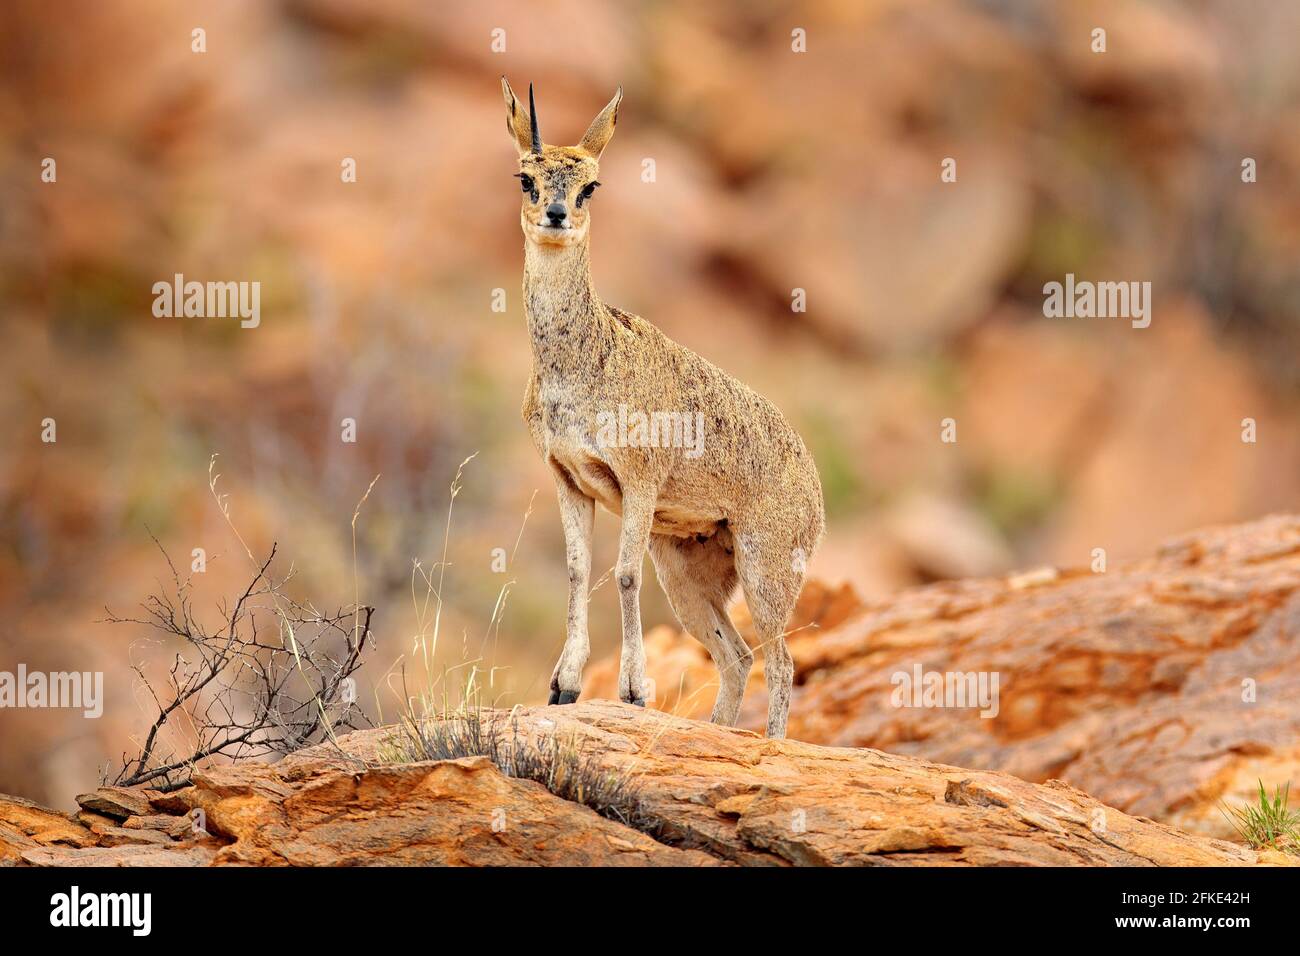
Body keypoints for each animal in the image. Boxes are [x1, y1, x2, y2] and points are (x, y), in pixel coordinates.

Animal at [502, 78, 825, 737]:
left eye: (590, 185)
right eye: (525, 178)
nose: (557, 214)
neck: (584, 362)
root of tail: (816, 492)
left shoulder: (639, 481)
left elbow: (623, 575)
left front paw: (632, 691)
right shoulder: (567, 478)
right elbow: (578, 572)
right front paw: (563, 687)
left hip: (767, 568)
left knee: (781, 661)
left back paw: (771, 742)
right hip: (687, 570)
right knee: (737, 655)